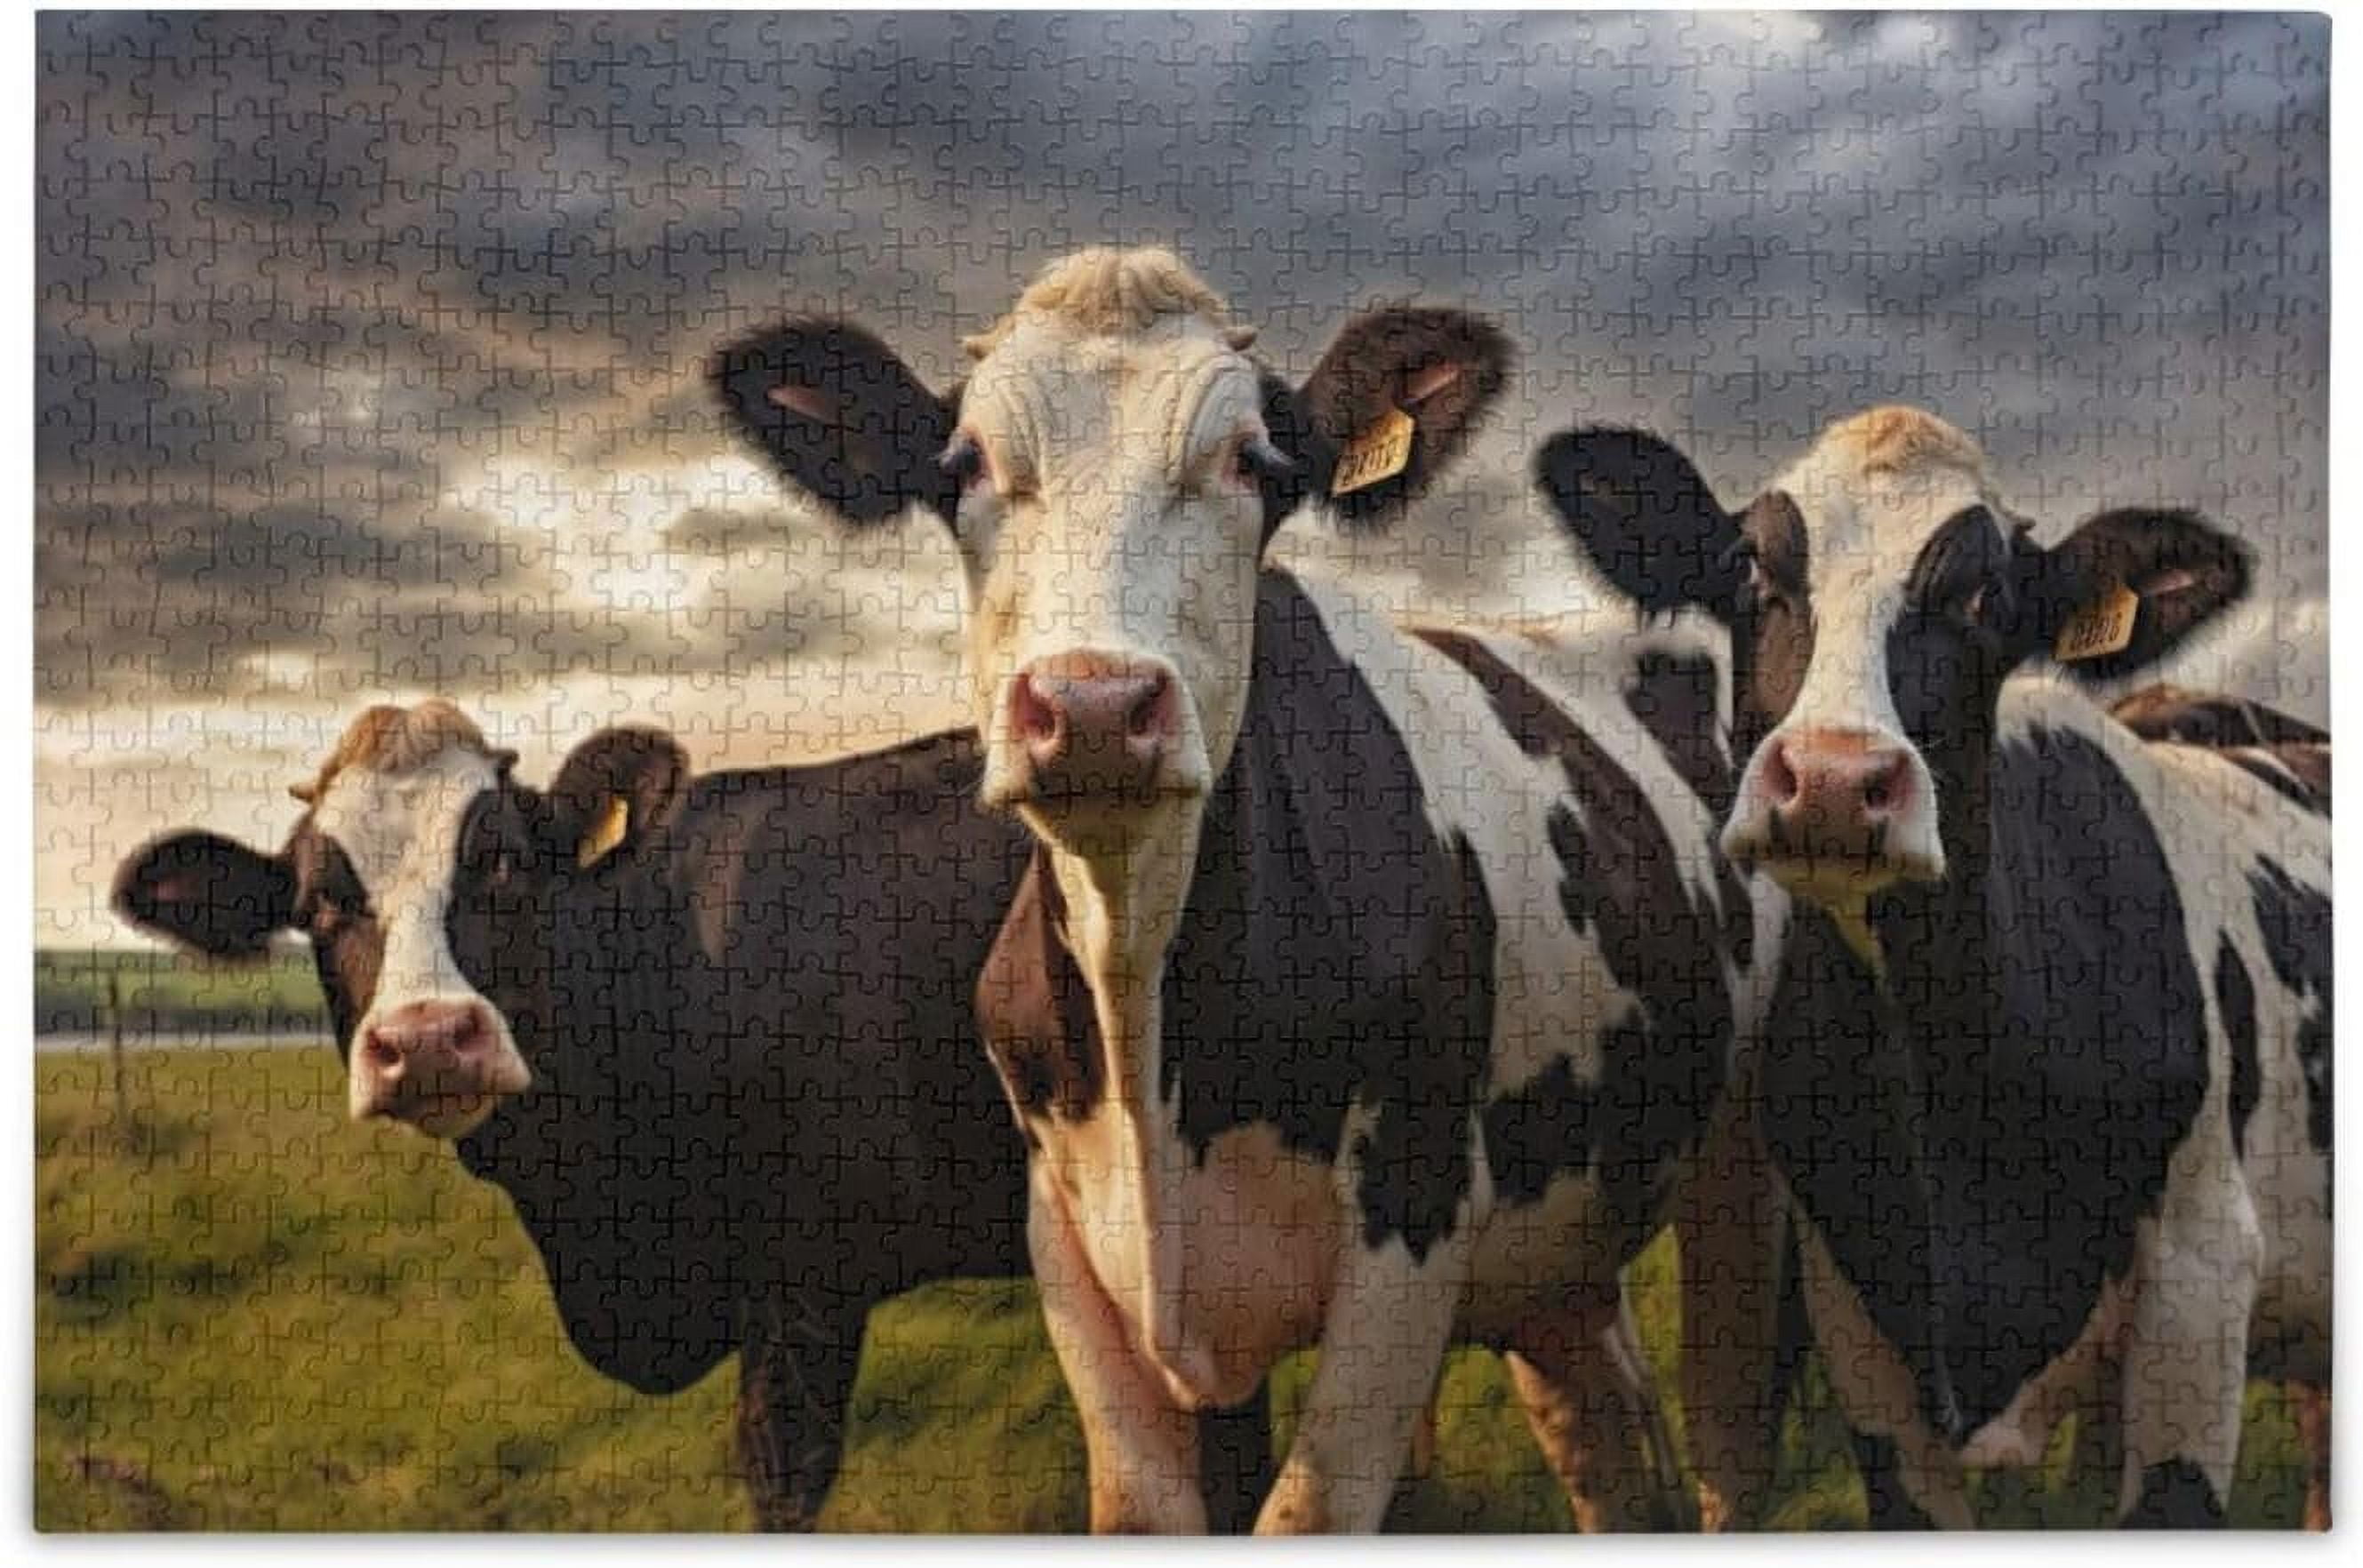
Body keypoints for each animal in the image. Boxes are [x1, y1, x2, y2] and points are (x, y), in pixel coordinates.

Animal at [710, 246, 1782, 1533]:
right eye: (961, 468)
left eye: (1253, 465)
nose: (1092, 706)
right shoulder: (1069, 1249)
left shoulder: (1411, 1222)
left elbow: (1307, 1511)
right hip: (1562, 1244)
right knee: (1606, 1434)